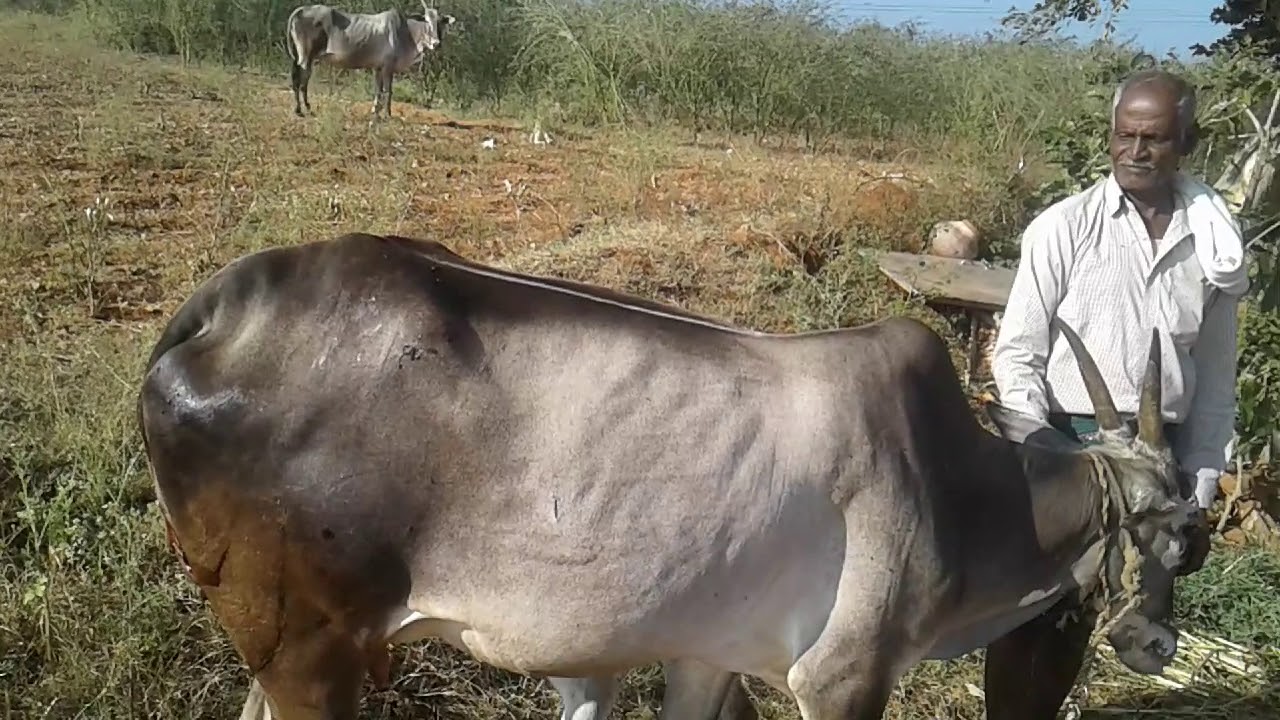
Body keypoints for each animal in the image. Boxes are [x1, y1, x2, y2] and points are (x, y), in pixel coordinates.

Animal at [139, 232, 1209, 720]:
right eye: (1175, 535)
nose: (1157, 642)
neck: (962, 493)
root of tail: (223, 302)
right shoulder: (844, 680)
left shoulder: (706, 656)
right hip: (313, 655)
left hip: (283, 654)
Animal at [284, 1, 455, 118]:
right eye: (426, 20)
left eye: (441, 22)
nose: (436, 43)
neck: (406, 32)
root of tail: (301, 9)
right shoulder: (388, 68)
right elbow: (388, 91)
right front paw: (387, 114)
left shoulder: (378, 68)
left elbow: (378, 91)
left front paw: (375, 112)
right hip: (306, 56)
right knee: (301, 81)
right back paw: (304, 108)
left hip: (301, 57)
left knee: (297, 78)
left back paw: (300, 109)